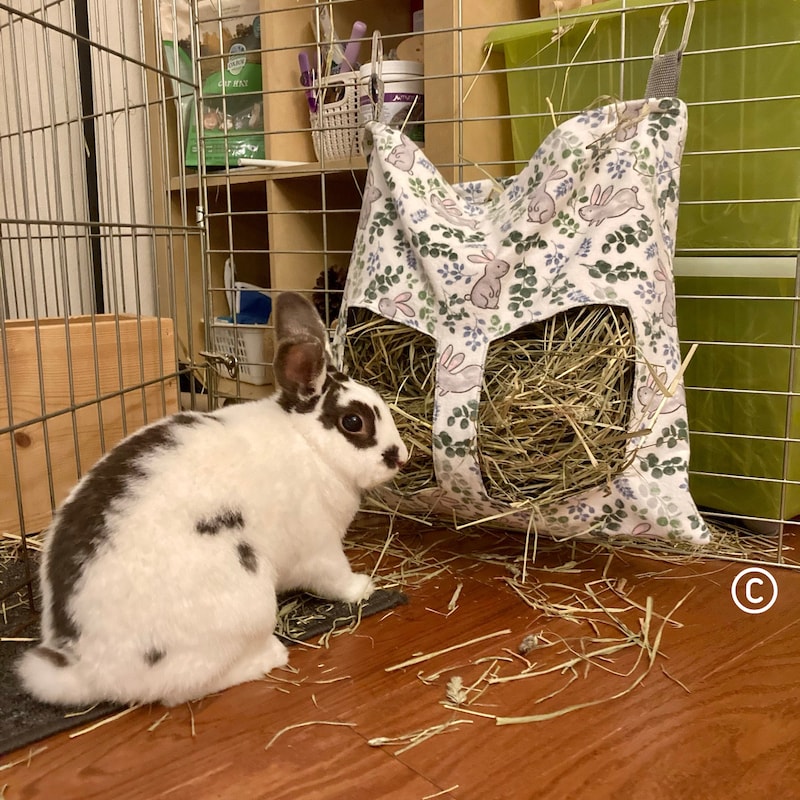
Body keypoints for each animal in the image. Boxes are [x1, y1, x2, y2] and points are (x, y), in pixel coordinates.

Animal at [17, 292, 408, 708]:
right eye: (353, 422)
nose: (400, 456)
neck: (309, 443)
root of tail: (88, 669)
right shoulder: (320, 546)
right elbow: (335, 576)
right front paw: (363, 587)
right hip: (245, 604)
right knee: (184, 689)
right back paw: (268, 656)